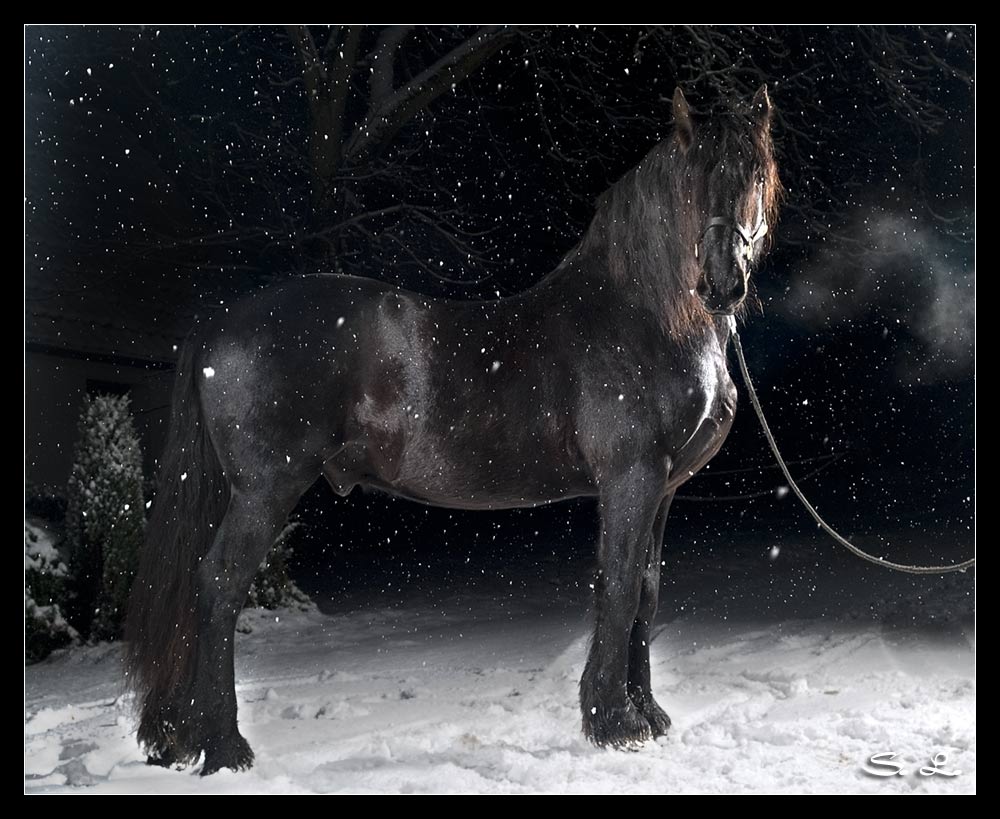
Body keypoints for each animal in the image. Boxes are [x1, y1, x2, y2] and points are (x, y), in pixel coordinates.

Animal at [124, 85, 782, 775]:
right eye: (693, 180)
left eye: (755, 178)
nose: (723, 284)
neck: (644, 315)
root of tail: (220, 322)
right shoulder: (631, 479)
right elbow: (620, 588)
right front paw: (612, 722)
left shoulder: (663, 489)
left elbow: (647, 594)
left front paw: (648, 716)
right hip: (265, 490)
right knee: (218, 586)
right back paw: (224, 745)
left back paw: (182, 737)